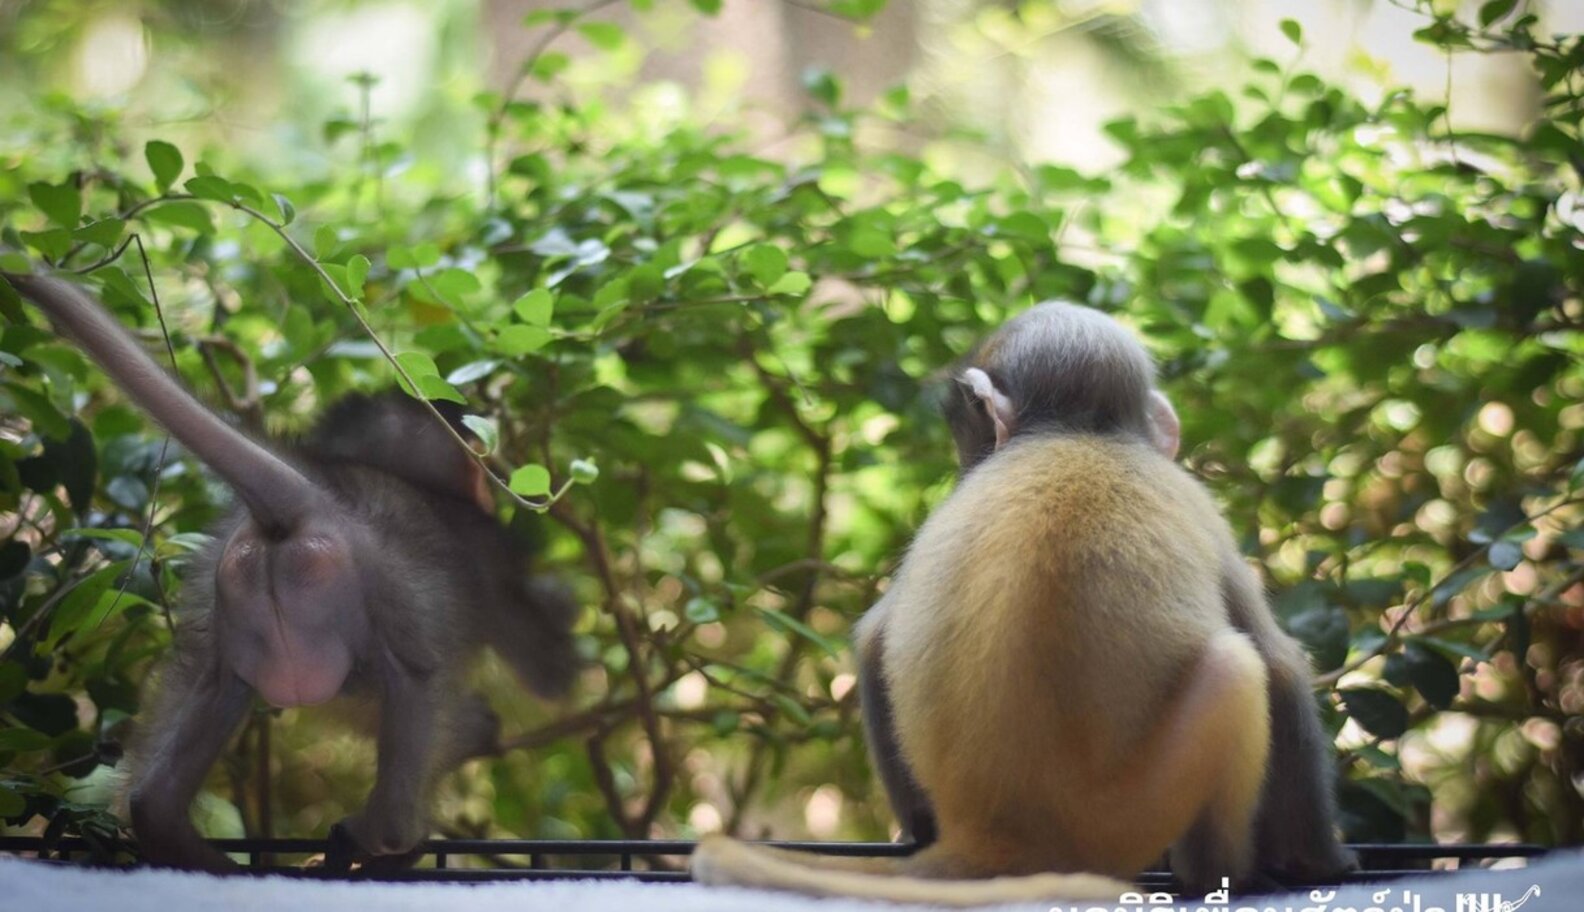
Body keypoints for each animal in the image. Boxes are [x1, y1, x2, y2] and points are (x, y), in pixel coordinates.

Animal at [4, 272, 579, 873]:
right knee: (421, 685)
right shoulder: (491, 547)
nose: (486, 488)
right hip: (390, 600)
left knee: (180, 750)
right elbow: (552, 674)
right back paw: (386, 838)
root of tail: (306, 502)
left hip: (234, 611)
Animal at [691, 302, 1355, 905]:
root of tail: (998, 836)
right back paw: (1220, 876)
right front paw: (1322, 862)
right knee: (1236, 666)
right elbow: (1280, 665)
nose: (967, 461)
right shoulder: (1193, 500)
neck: (1074, 434)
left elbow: (876, 636)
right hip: (1129, 815)